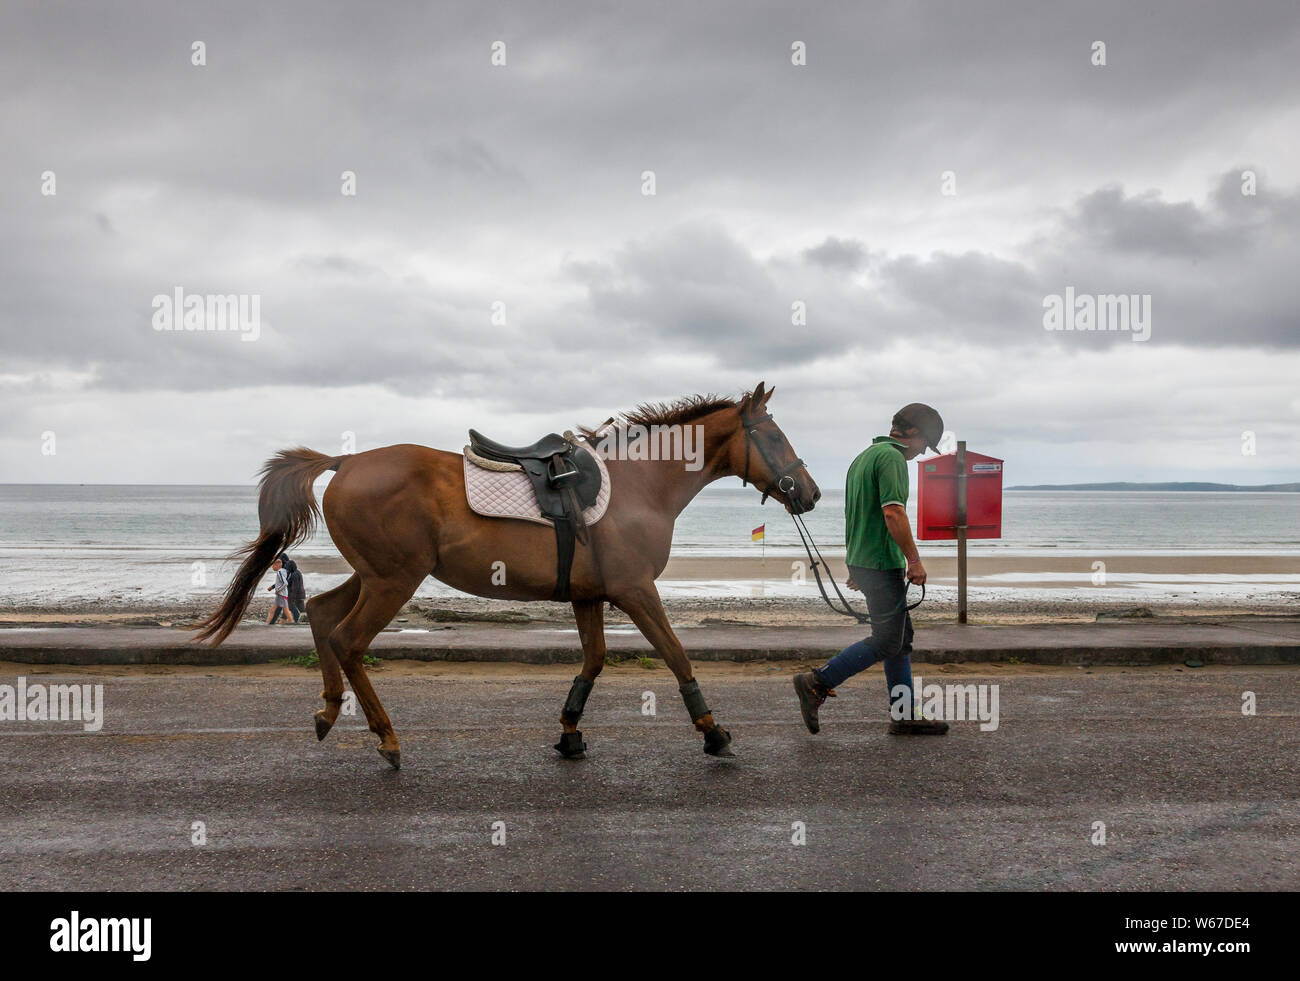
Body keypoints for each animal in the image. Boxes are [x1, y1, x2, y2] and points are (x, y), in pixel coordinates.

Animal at [194, 382, 820, 768]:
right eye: (776, 436)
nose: (811, 493)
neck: (640, 485)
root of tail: (345, 461)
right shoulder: (636, 591)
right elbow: (676, 656)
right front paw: (713, 731)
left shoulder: (589, 595)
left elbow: (594, 661)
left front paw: (570, 734)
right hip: (394, 580)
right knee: (348, 639)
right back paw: (386, 737)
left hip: (376, 575)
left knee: (323, 615)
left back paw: (329, 711)